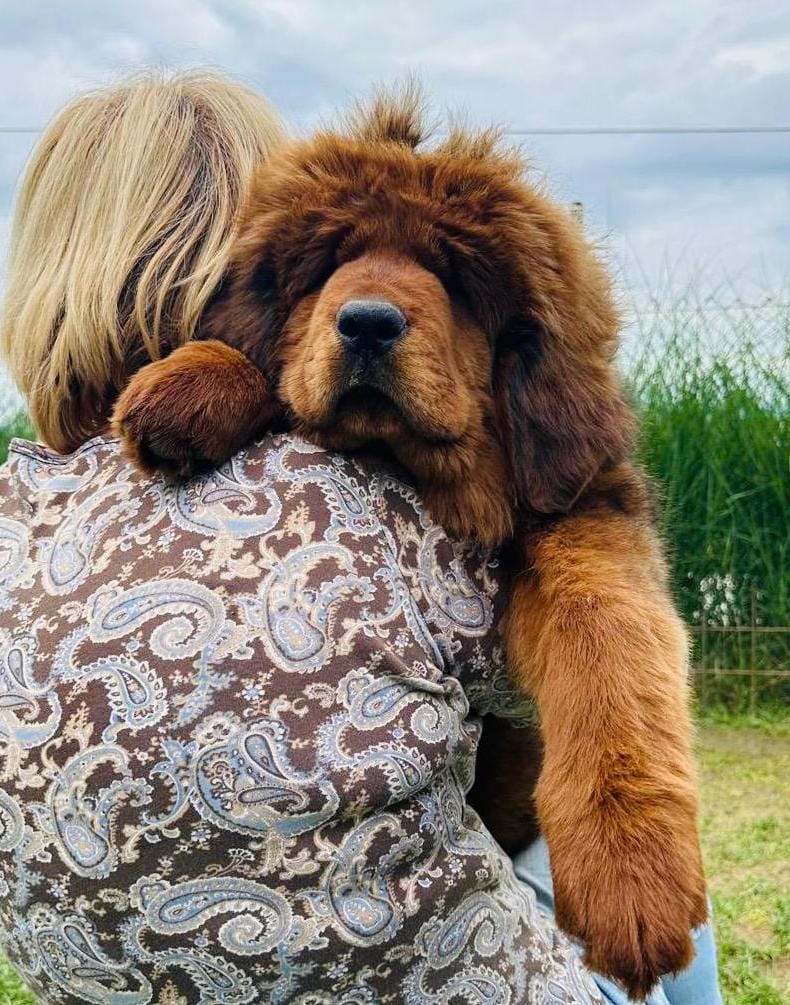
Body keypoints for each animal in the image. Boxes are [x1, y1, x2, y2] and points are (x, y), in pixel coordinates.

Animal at [109, 90, 703, 1000]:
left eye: (454, 279)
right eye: (328, 266)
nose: (365, 322)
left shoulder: (587, 508)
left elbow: (608, 638)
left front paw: (632, 870)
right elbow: (268, 365)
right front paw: (193, 379)